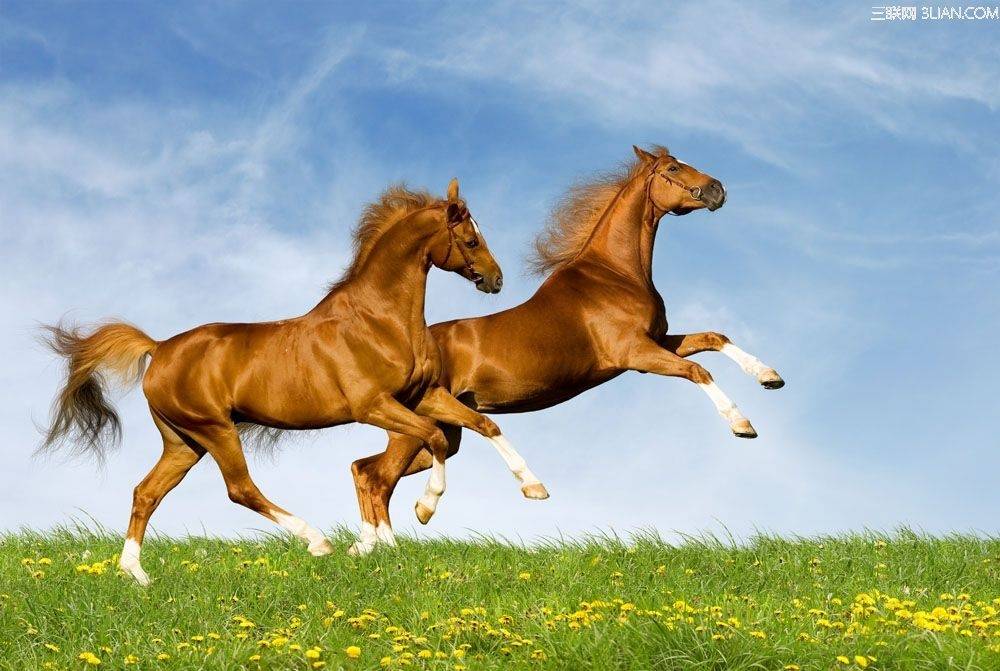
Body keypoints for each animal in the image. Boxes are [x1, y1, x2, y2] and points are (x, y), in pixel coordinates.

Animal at [39, 178, 546, 584]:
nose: (496, 280)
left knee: (146, 493)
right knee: (240, 489)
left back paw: (135, 574)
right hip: (215, 429)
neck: (378, 320)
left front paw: (533, 488)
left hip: (183, 441)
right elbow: (433, 440)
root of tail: (159, 347)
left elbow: (484, 425)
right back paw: (317, 540)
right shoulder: (373, 405)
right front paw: (421, 512)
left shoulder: (422, 396)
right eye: (470, 239)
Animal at [348, 146, 784, 550]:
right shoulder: (637, 354)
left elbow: (715, 338)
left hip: (442, 432)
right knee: (377, 478)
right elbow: (698, 371)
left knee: (364, 469)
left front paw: (769, 377)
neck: (614, 274)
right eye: (674, 168)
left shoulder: (659, 341)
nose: (717, 190)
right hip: (416, 430)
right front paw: (742, 425)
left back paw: (367, 546)